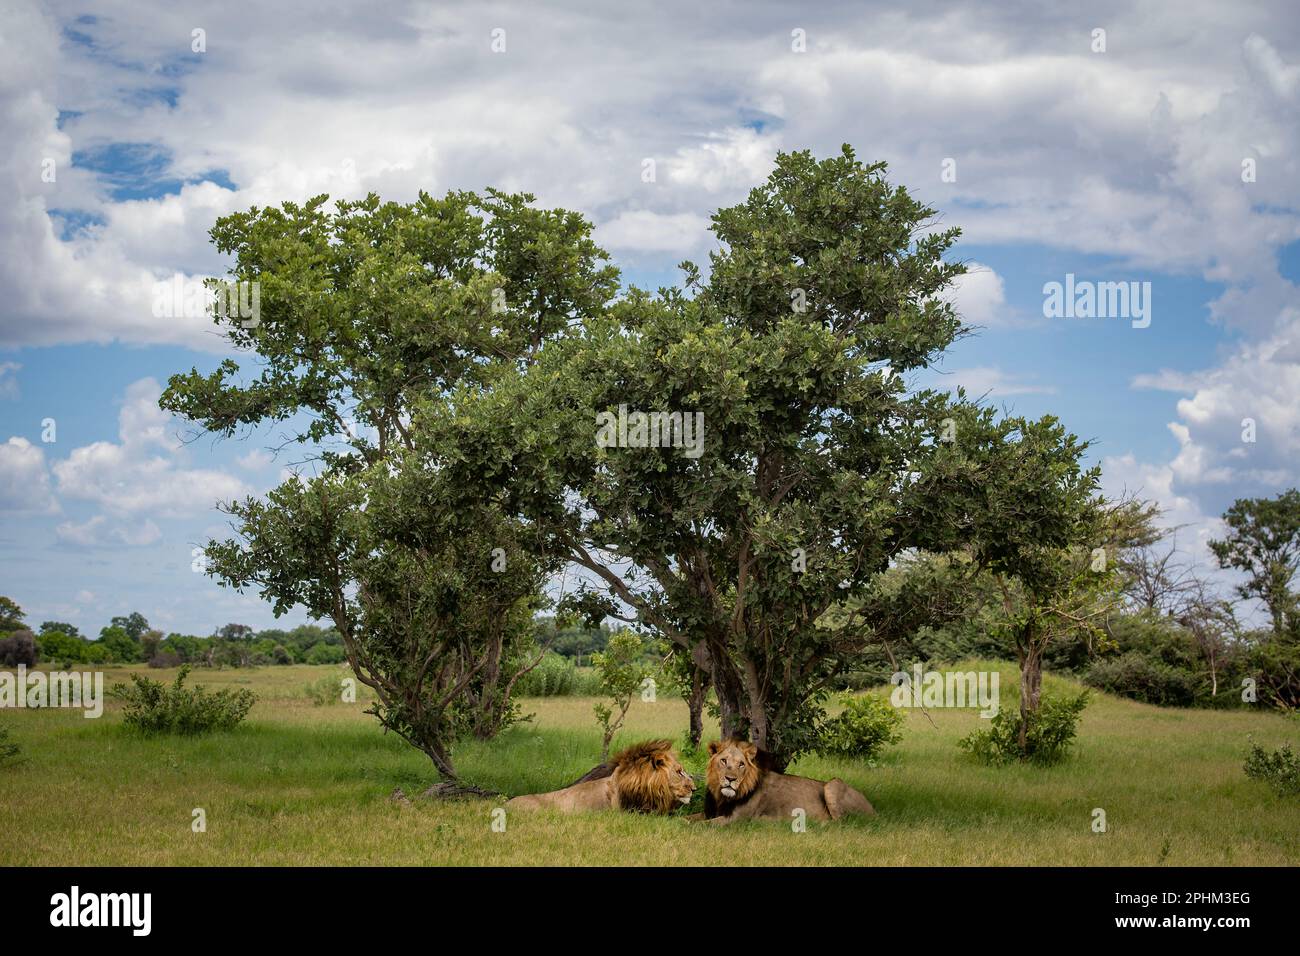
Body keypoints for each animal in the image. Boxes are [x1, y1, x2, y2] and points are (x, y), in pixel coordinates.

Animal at [702, 739, 875, 824]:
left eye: (741, 764)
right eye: (724, 761)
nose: (730, 779)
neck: (722, 797)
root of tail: (873, 809)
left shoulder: (736, 819)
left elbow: (703, 826)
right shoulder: (711, 812)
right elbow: (696, 819)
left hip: (833, 784)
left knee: (840, 823)